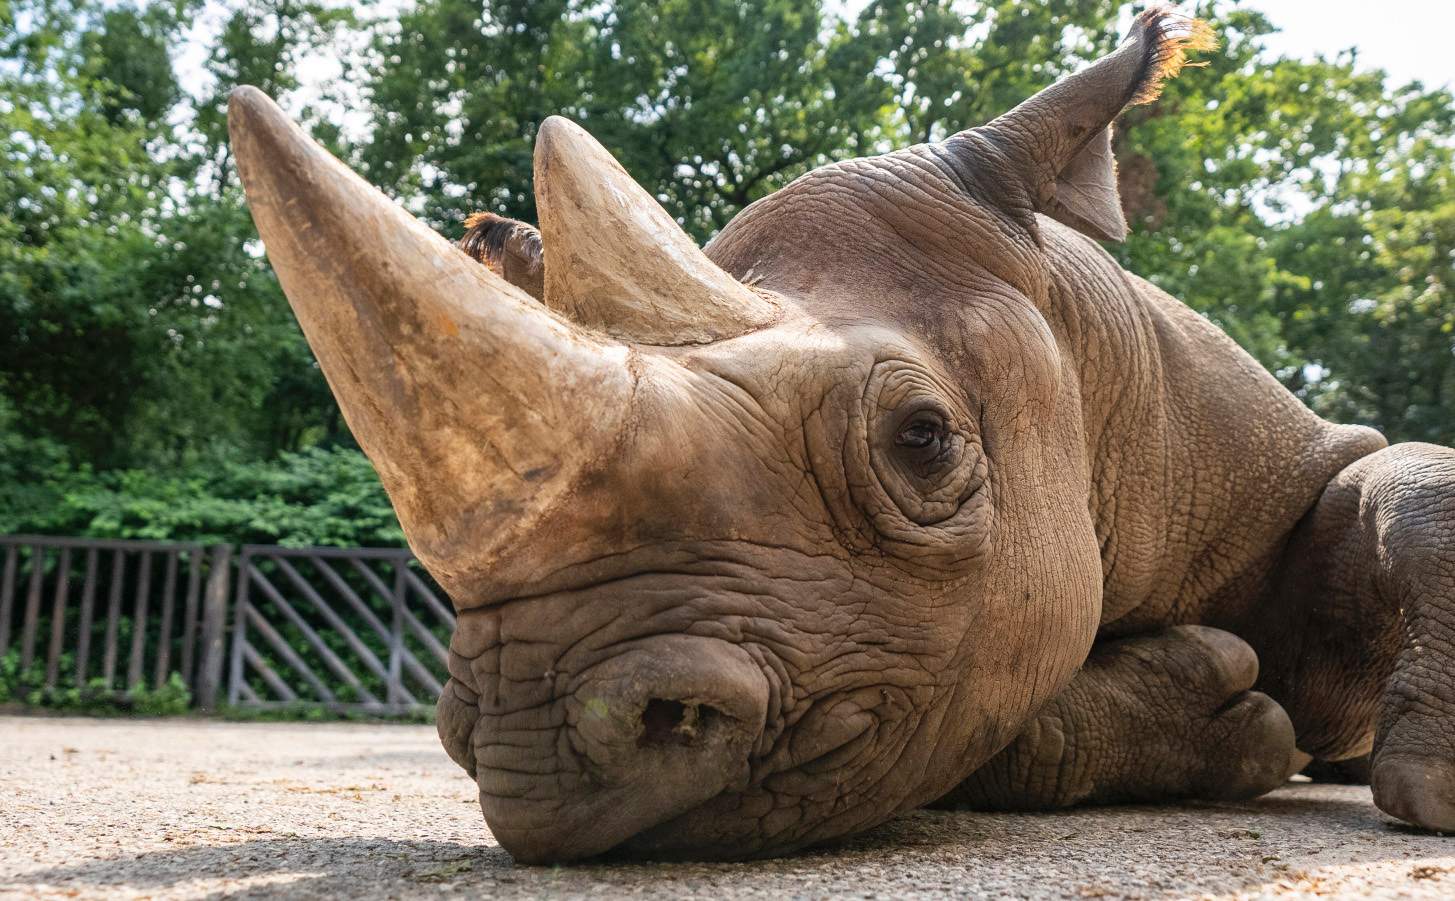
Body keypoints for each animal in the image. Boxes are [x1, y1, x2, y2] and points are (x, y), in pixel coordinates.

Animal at [227, 8, 1455, 864]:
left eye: (923, 441)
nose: (536, 751)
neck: (1080, 354)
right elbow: (999, 715)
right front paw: (1223, 709)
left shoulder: (1284, 453)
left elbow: (1396, 485)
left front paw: (1428, 783)